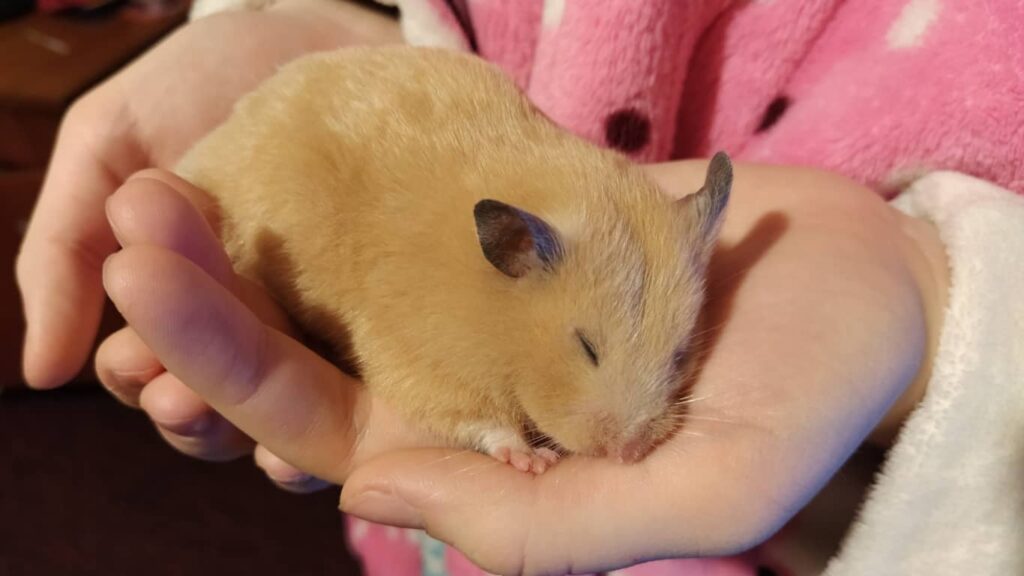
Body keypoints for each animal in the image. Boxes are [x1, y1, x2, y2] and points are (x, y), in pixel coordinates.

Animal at [176, 46, 732, 472]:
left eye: (680, 355)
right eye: (587, 348)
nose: (629, 454)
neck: (500, 320)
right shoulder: (420, 359)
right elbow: (479, 420)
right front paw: (531, 460)